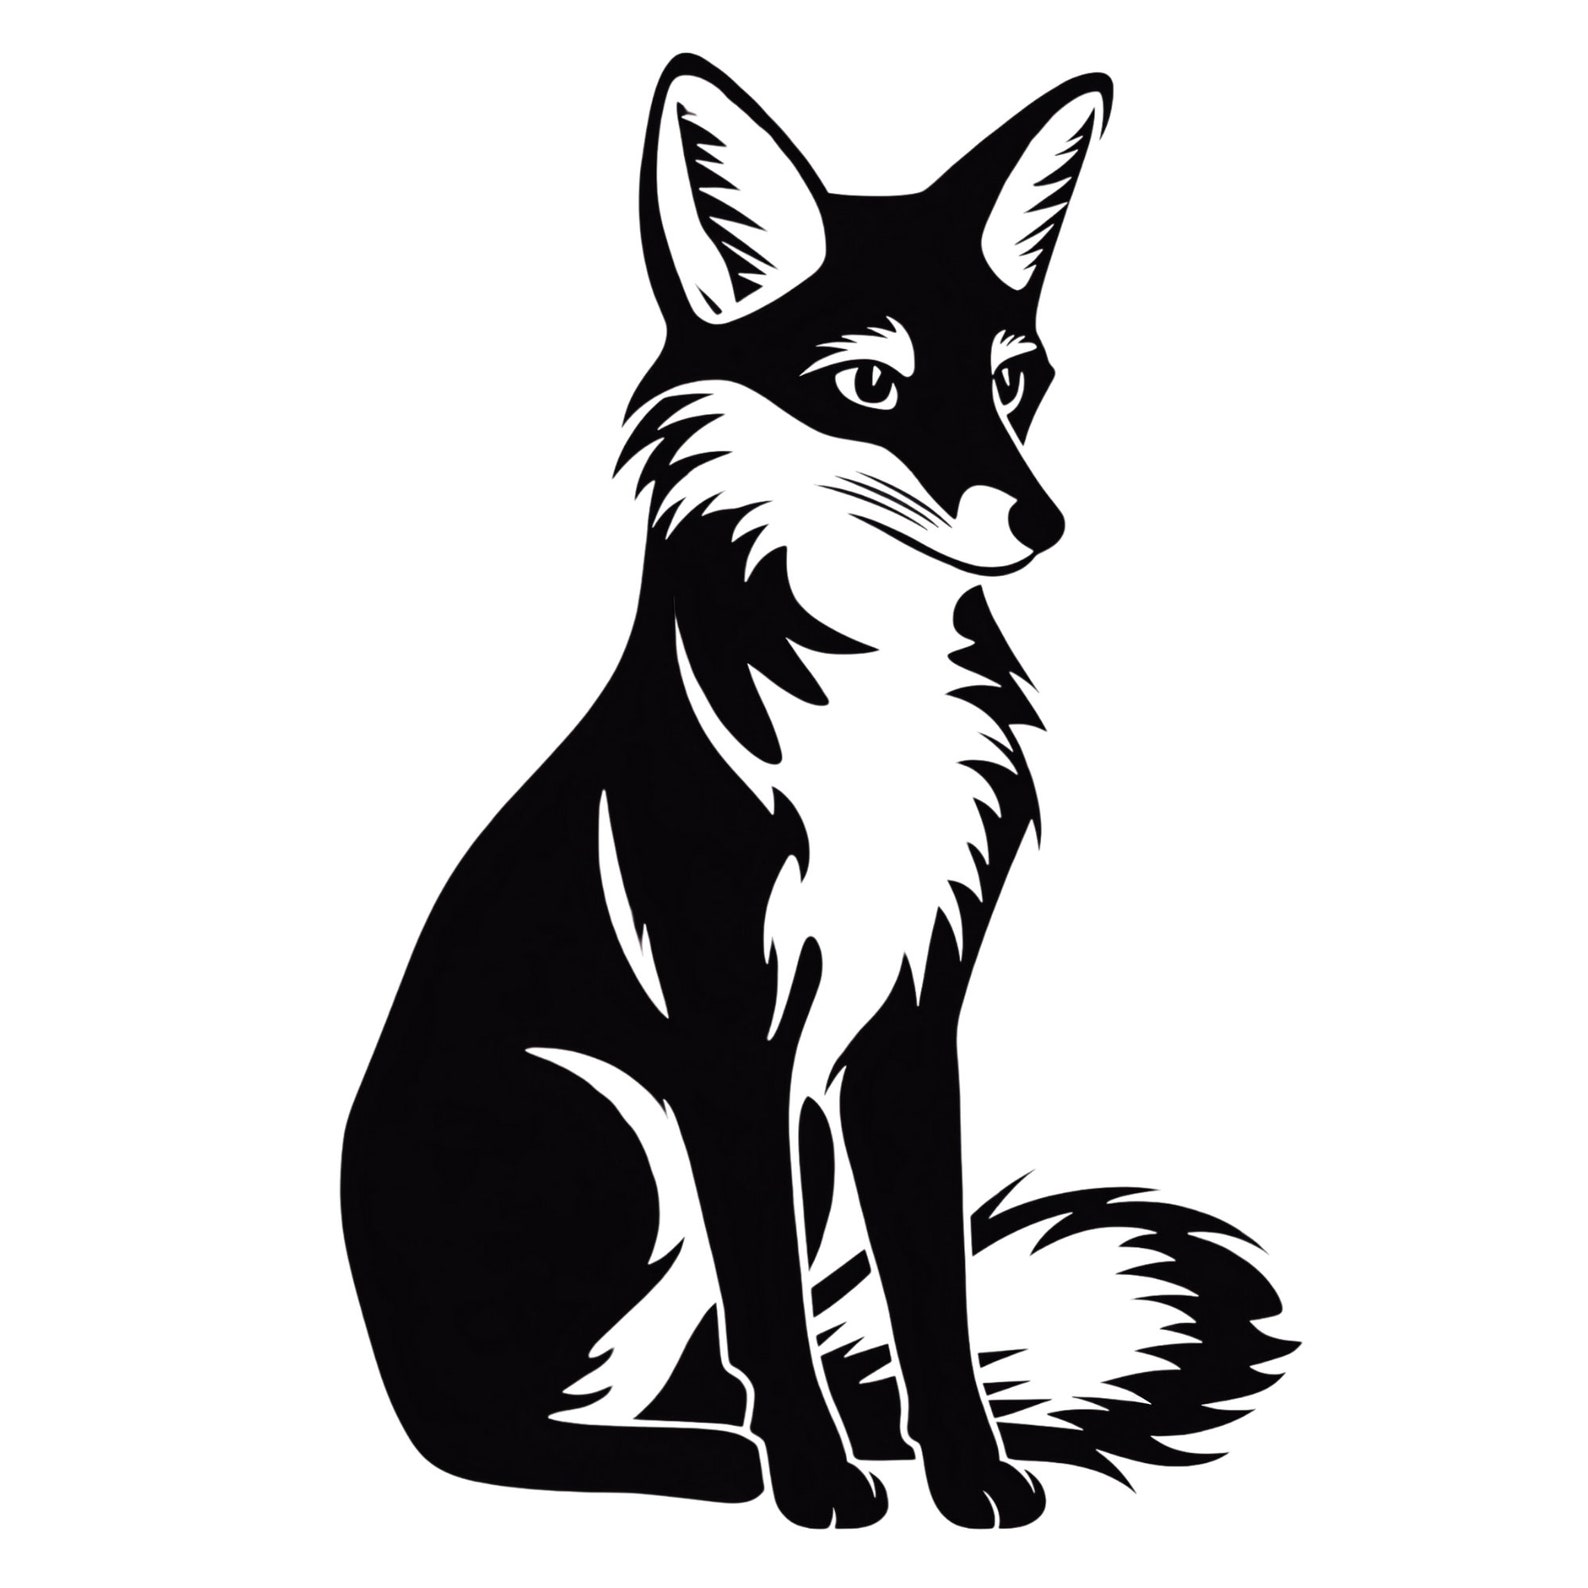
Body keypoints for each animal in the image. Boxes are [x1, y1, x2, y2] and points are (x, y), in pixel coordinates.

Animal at [341, 54, 1293, 1529]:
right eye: (868, 385)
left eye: (1014, 379)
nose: (1041, 522)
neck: (871, 708)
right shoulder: (727, 1036)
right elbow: (777, 1305)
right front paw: (812, 1476)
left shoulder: (907, 1029)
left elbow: (928, 1293)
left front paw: (967, 1469)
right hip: (615, 1126)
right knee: (504, 1433)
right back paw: (721, 1461)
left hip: (799, 1137)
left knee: (704, 1358)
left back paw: (841, 1428)